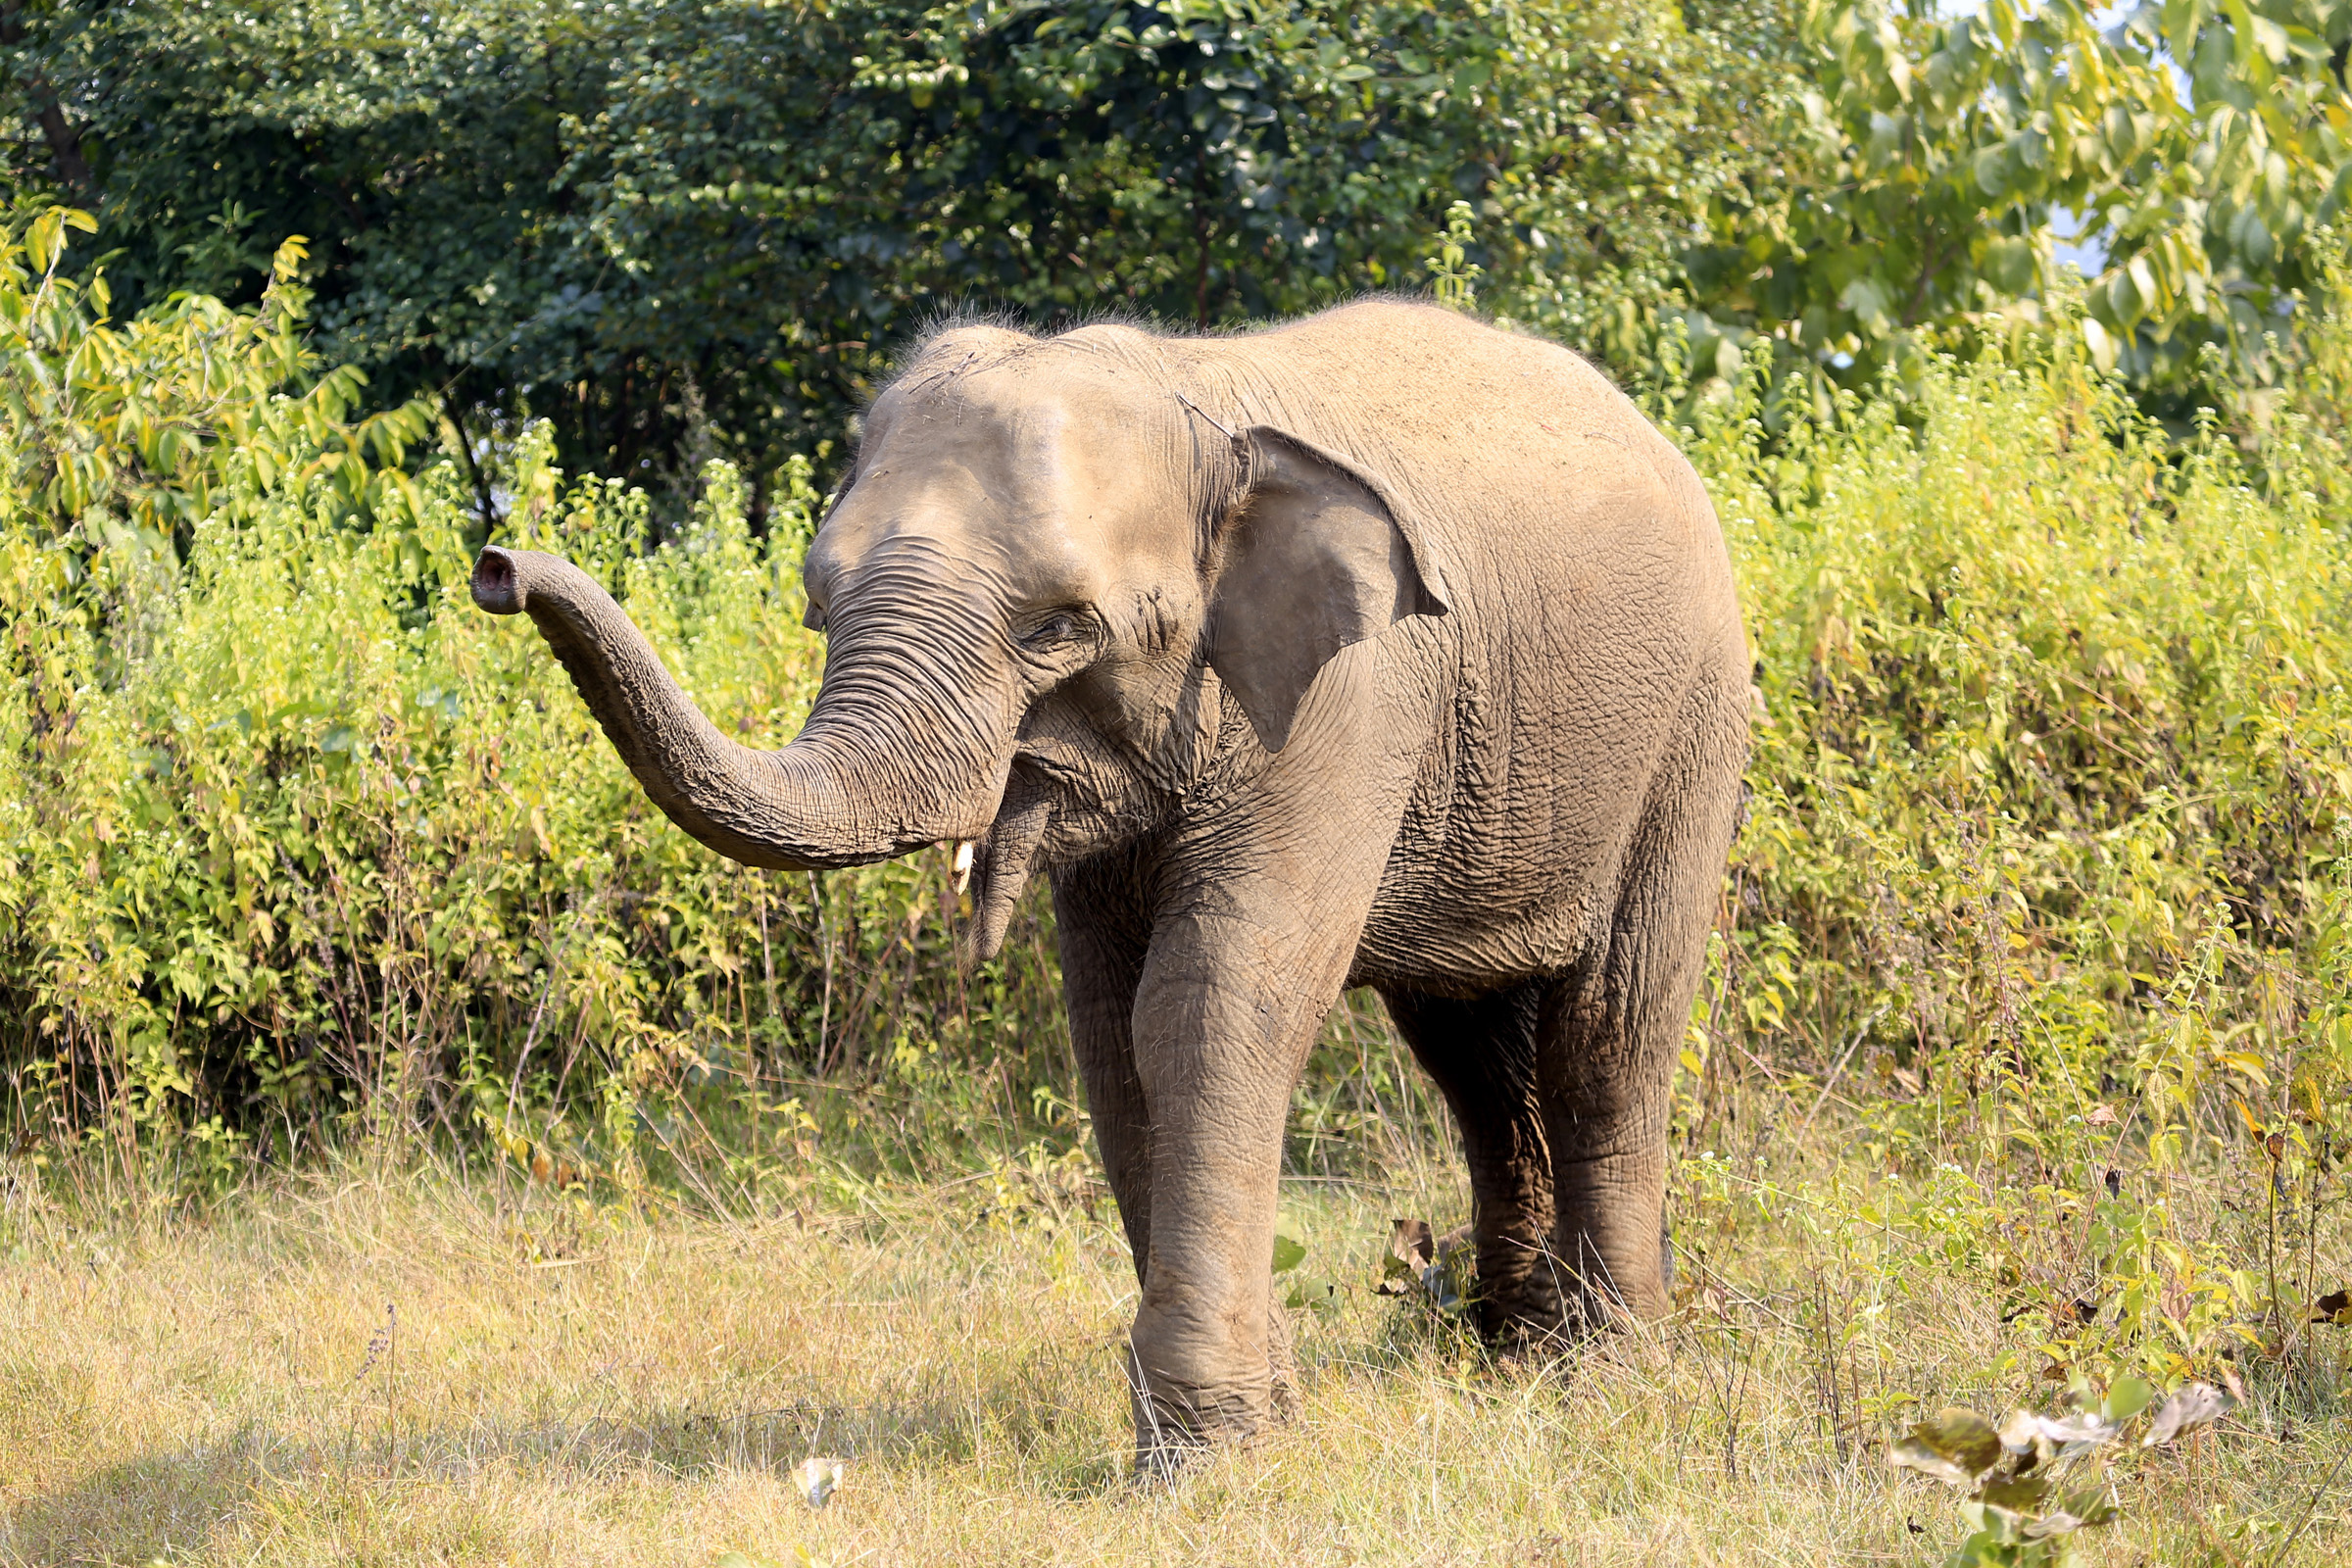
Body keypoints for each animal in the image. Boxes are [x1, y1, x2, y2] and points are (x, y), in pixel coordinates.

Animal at [470, 299, 1748, 1468]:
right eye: (816, 605)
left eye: (1059, 628)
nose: (494, 566)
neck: (1199, 408)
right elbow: (1109, 1027)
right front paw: (1258, 1421)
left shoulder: (1359, 692)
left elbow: (1212, 996)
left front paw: (1206, 1456)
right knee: (1469, 1050)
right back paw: (1510, 1352)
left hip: (1692, 726)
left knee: (1609, 1028)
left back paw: (1605, 1370)